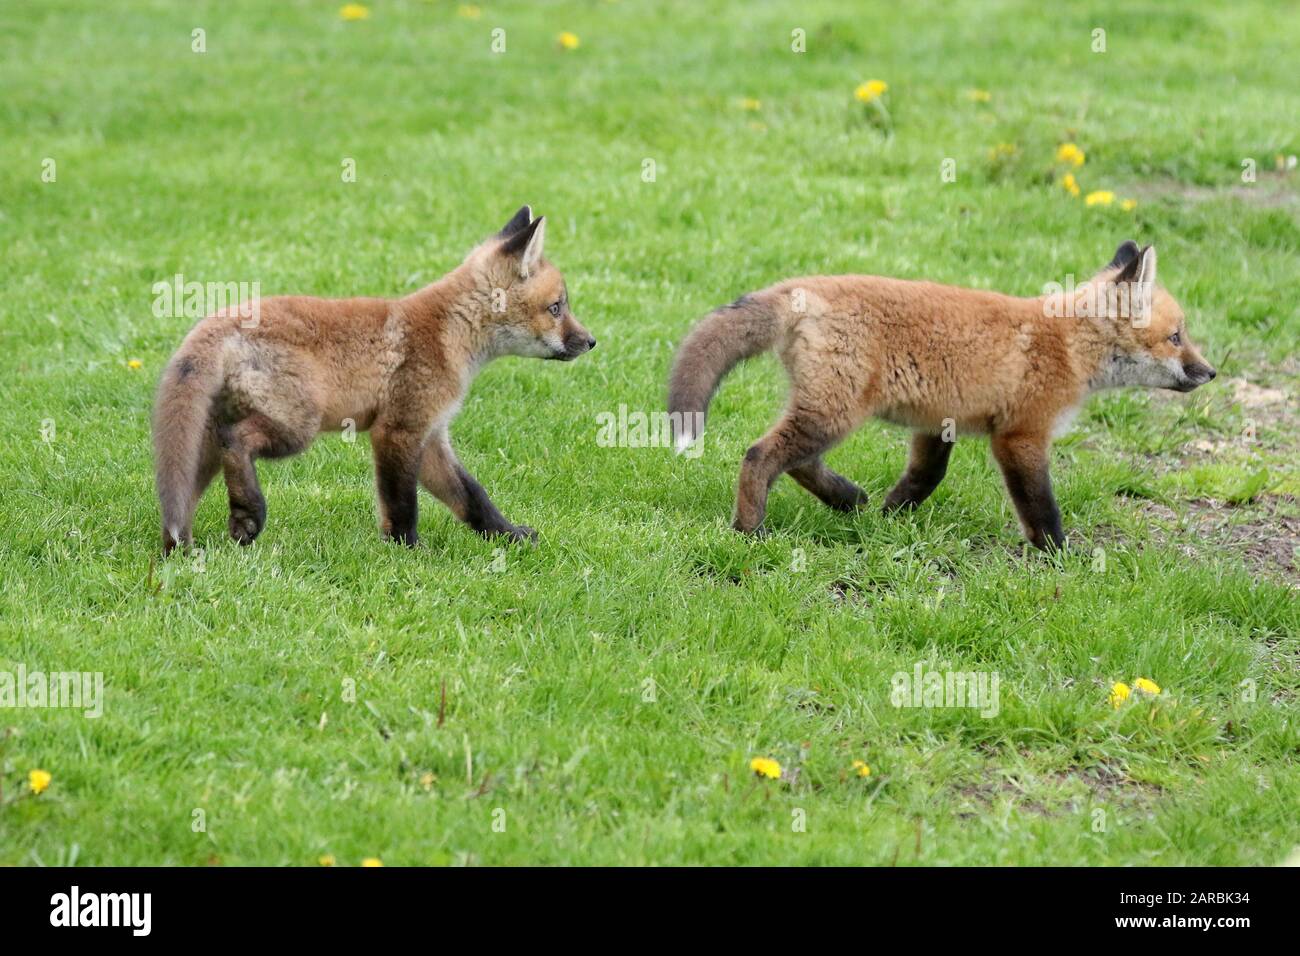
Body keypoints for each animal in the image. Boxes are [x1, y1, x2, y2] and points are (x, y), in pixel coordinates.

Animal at [152, 206, 595, 555]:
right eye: (557, 308)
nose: (591, 341)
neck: (449, 335)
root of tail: (215, 320)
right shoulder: (397, 430)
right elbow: (401, 503)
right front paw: (408, 550)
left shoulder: (431, 436)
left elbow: (472, 497)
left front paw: (509, 537)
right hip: (297, 425)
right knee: (236, 440)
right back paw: (248, 515)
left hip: (204, 446)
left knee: (182, 498)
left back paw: (185, 548)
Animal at [668, 241, 1216, 550]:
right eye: (1176, 337)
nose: (1210, 372)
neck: (1068, 344)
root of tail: (800, 286)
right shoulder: (1021, 436)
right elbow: (1041, 507)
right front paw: (1060, 554)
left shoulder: (937, 424)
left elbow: (923, 479)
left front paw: (889, 519)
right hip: (834, 414)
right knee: (760, 455)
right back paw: (749, 532)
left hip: (827, 410)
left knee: (797, 462)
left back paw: (848, 499)